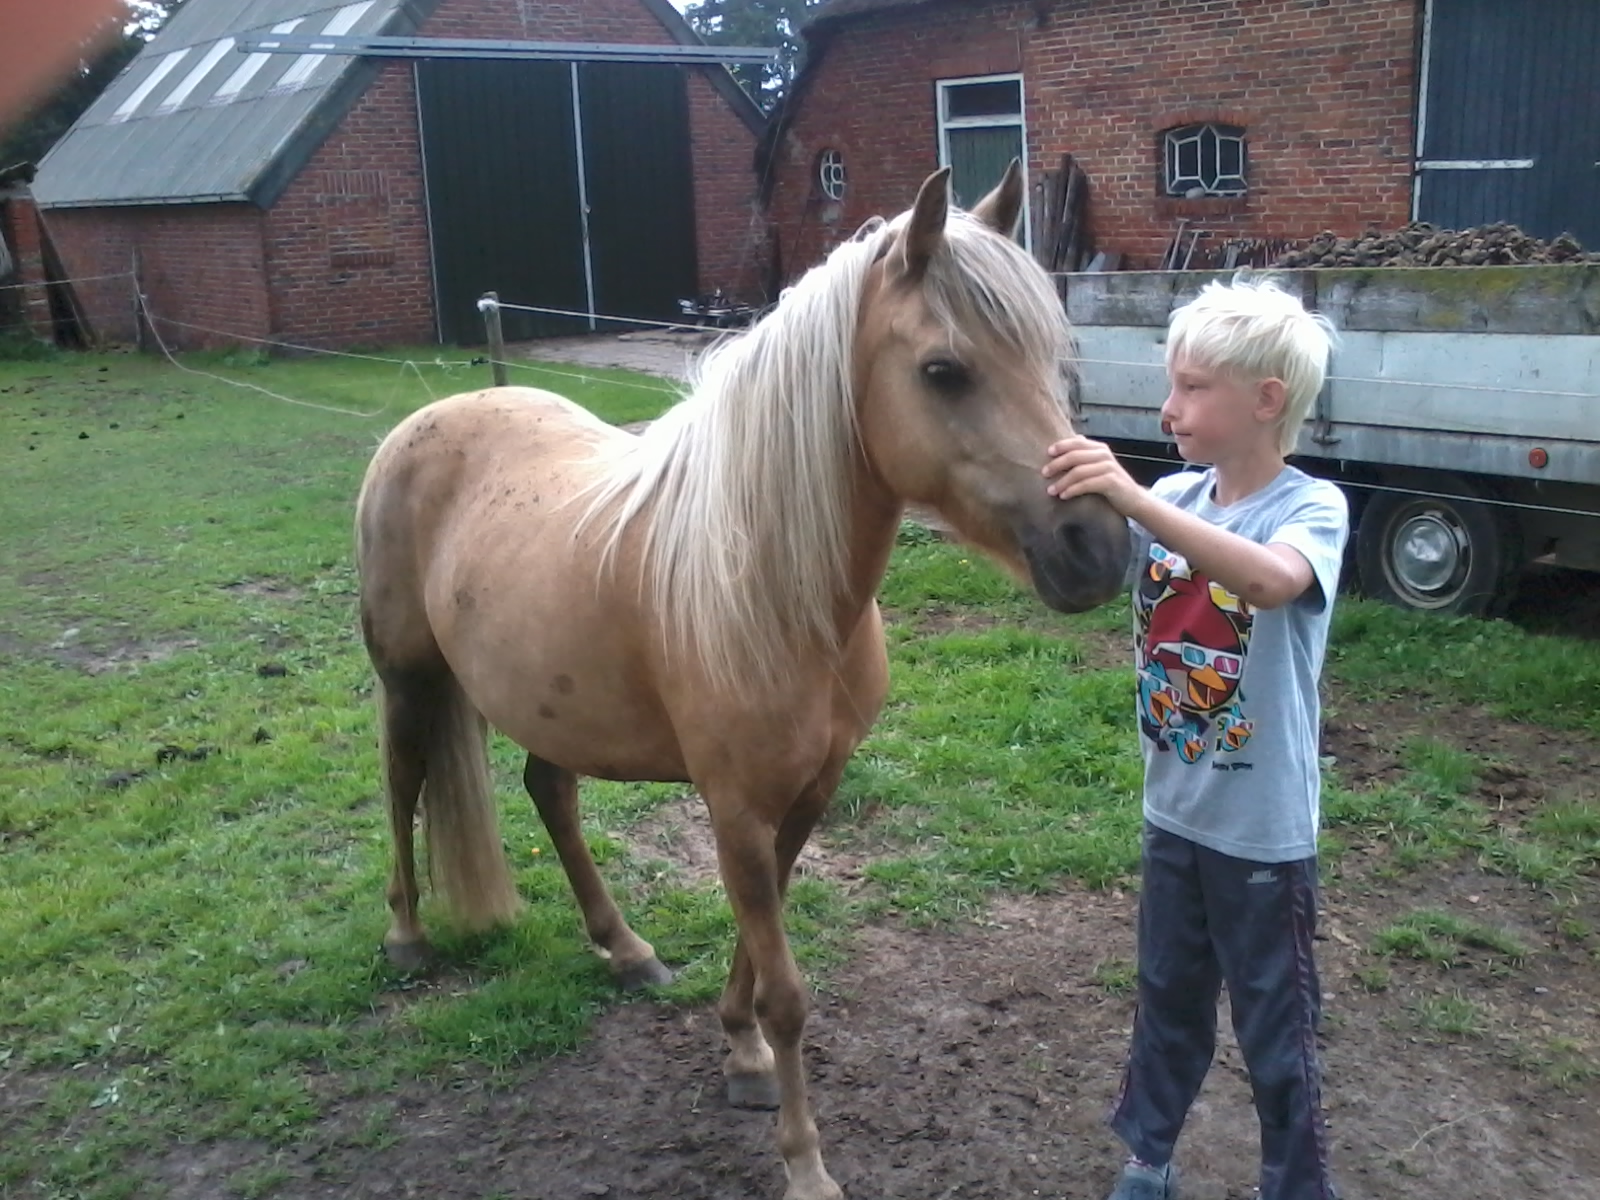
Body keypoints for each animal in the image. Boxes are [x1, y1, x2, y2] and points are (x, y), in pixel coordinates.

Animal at [354, 161, 1130, 1200]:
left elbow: (757, 960)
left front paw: (742, 1052)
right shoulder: (736, 811)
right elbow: (789, 990)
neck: (771, 587)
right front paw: (804, 1161)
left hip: (554, 704)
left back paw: (626, 949)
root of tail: (426, 421)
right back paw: (406, 937)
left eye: (1054, 360)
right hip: (407, 678)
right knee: (403, 783)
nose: (1098, 549)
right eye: (944, 371)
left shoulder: (802, 798)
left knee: (548, 791)